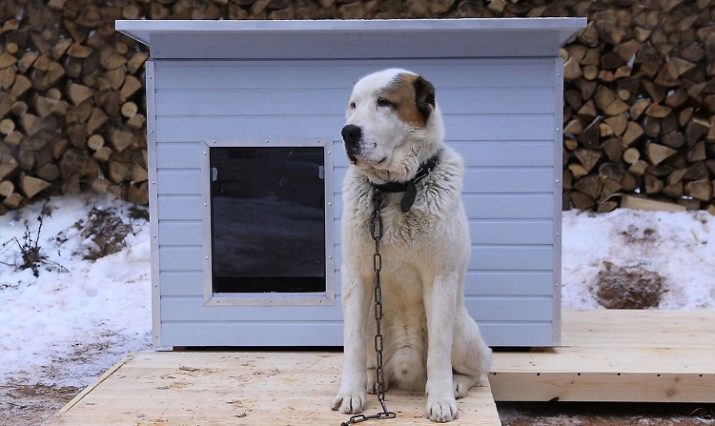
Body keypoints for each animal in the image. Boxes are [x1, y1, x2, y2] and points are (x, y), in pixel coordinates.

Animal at [332, 68, 492, 422]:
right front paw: (351, 393)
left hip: (462, 330)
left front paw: (442, 400)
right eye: (353, 105)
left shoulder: (440, 279)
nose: (348, 131)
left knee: (480, 367)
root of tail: (404, 372)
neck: (394, 189)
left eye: (384, 102)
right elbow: (351, 345)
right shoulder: (356, 276)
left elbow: (439, 352)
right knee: (370, 356)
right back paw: (371, 381)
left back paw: (456, 385)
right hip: (371, 322)